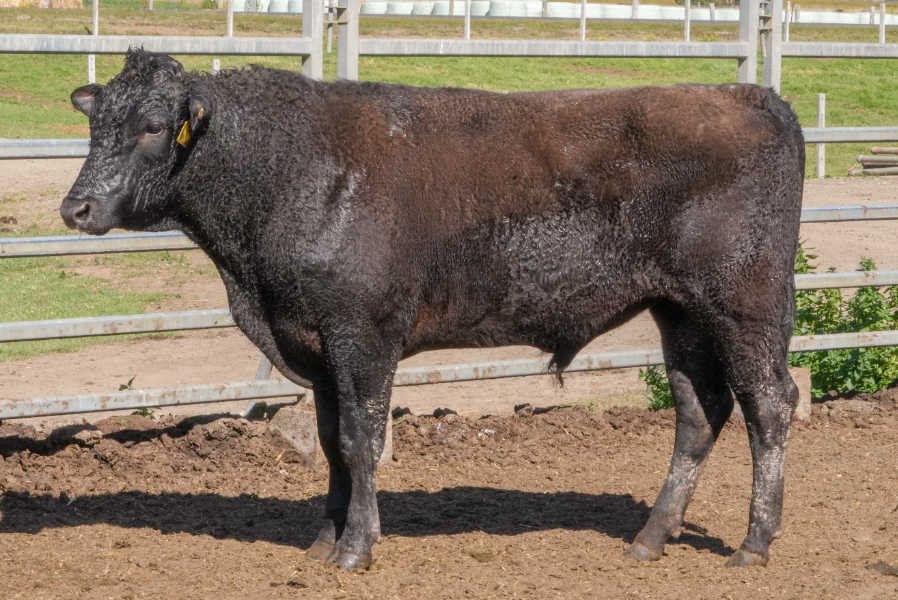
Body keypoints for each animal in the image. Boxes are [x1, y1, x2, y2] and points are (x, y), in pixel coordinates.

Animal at [60, 49, 805, 570]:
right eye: (94, 124)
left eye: (154, 127)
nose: (77, 207)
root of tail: (749, 95)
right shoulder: (316, 344)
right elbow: (330, 443)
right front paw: (323, 540)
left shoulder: (363, 335)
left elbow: (361, 440)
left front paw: (357, 548)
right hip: (680, 312)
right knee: (699, 410)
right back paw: (651, 536)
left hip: (745, 304)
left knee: (769, 403)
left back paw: (755, 542)